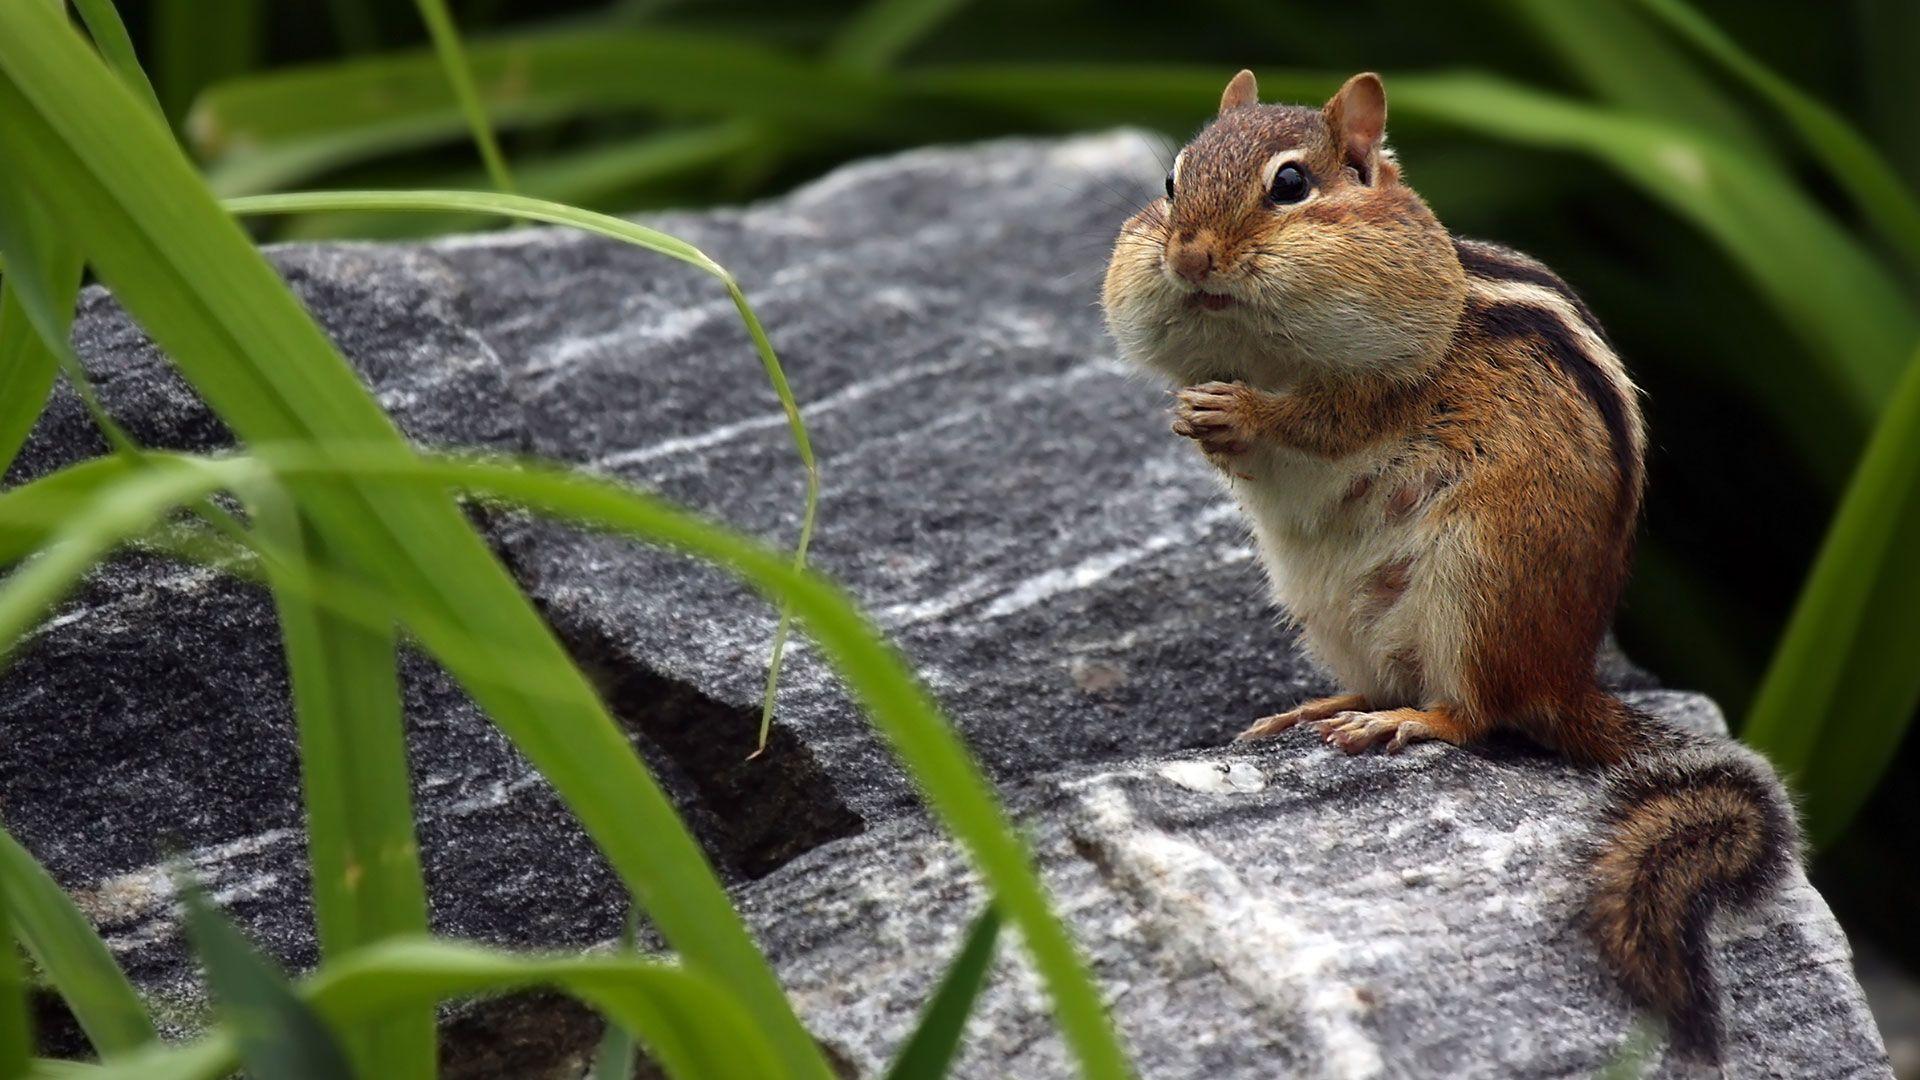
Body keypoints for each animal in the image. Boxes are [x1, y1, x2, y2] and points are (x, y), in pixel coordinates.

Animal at [1101, 69, 1799, 1062]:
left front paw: (1246, 412)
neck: (1256, 346)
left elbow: (1327, 419)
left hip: (1478, 583)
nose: (1189, 256)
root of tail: (1566, 677)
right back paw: (1327, 708)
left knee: (1479, 714)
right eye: (1170, 181)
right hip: (1327, 607)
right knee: (1384, 676)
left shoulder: (1390, 380)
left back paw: (1408, 723)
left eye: (1290, 186)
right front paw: (1195, 415)